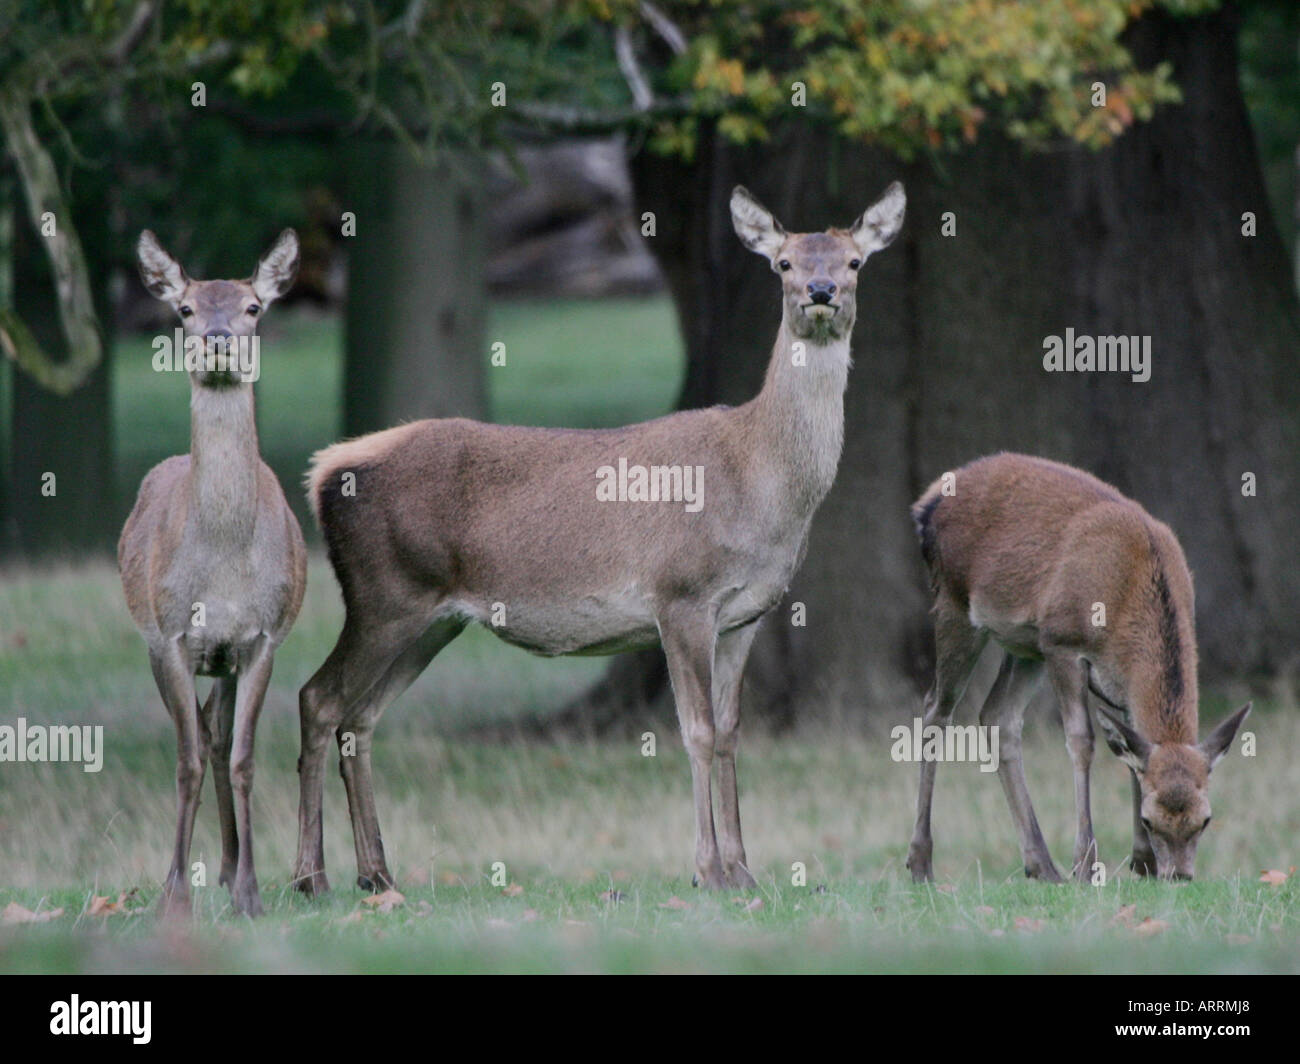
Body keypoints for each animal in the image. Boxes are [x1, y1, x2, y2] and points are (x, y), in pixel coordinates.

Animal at [119, 229, 307, 917]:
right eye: (185, 309)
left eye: (253, 307)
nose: (219, 338)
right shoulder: (169, 637)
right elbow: (186, 763)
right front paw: (173, 895)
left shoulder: (262, 637)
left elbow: (244, 759)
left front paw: (249, 892)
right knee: (202, 738)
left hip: (223, 659)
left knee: (219, 737)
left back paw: (227, 869)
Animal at [292, 181, 906, 897]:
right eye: (783, 262)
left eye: (855, 260)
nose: (820, 290)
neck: (761, 482)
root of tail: (321, 473)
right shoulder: (680, 595)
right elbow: (696, 731)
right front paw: (707, 872)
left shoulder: (746, 614)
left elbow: (730, 733)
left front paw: (746, 872)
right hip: (383, 595)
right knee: (318, 699)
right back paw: (310, 876)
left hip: (431, 618)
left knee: (360, 718)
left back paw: (376, 875)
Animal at [905, 452, 1251, 883]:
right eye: (1150, 820)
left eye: (1205, 820)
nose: (1179, 875)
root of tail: (927, 501)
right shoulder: (1064, 644)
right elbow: (1082, 741)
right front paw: (1085, 864)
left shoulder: (1108, 679)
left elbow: (1131, 754)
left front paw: (1141, 862)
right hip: (955, 603)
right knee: (936, 710)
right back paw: (921, 862)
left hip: (1025, 645)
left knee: (997, 716)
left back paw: (1040, 865)